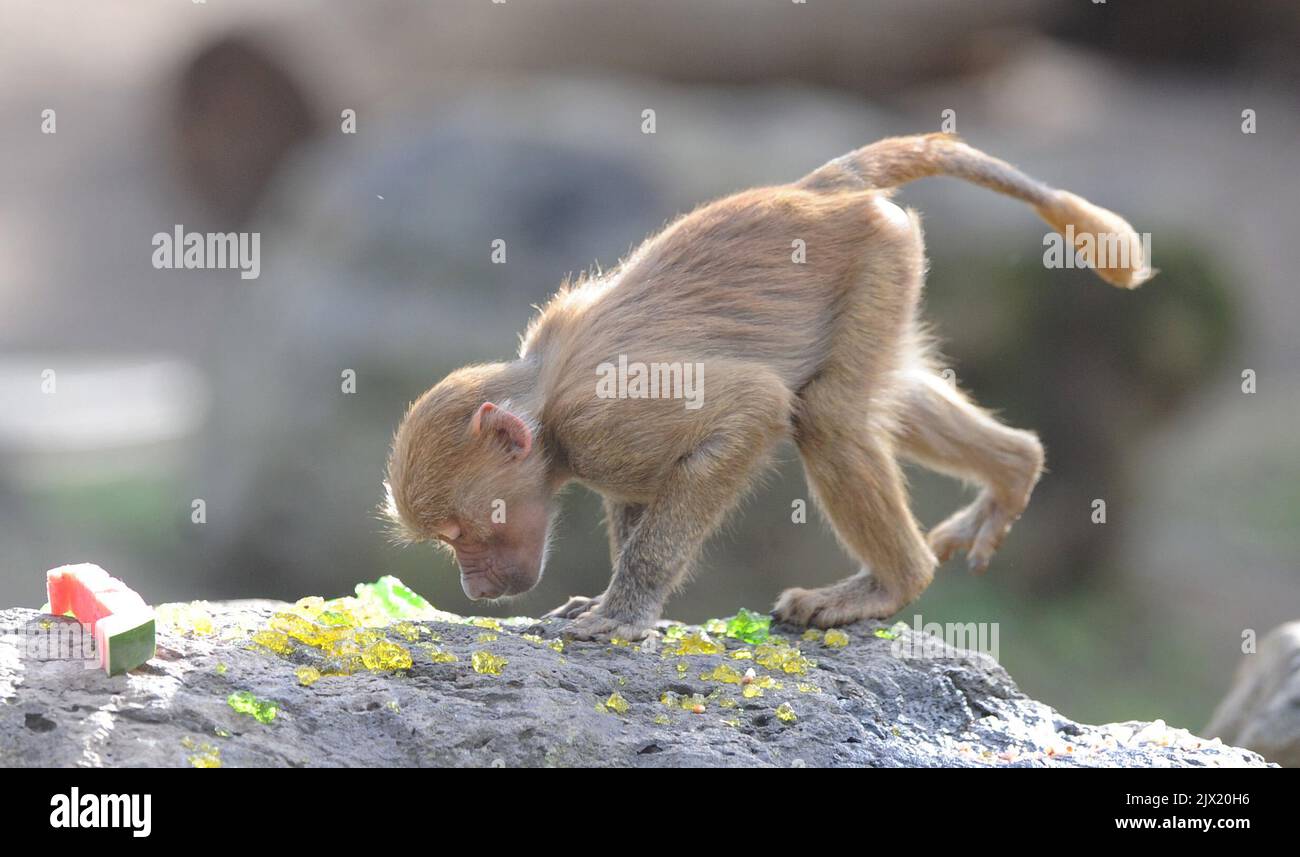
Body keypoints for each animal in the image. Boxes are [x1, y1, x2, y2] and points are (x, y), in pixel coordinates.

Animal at [384, 133, 1152, 641]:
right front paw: (609, 598)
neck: (542, 398)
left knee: (828, 415)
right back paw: (1015, 468)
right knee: (875, 393)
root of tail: (819, 190)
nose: (475, 587)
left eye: (461, 531)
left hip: (880, 253)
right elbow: (641, 497)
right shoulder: (613, 453)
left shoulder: (606, 422)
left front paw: (623, 615)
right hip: (885, 270)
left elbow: (753, 409)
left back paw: (891, 584)